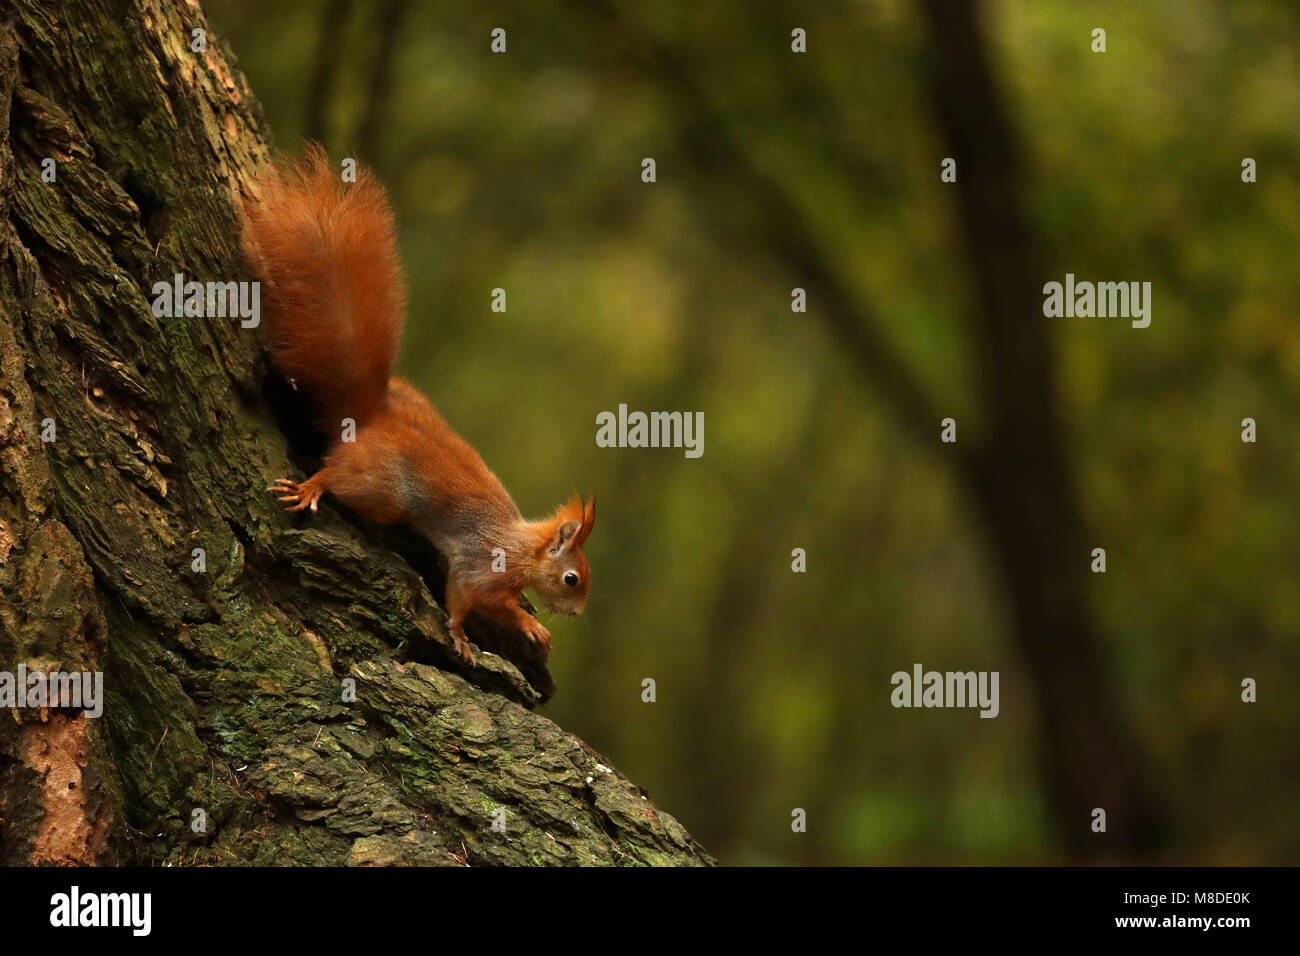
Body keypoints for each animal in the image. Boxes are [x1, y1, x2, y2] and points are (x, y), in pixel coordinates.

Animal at [240, 145, 595, 663]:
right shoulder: (484, 567)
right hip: (384, 488)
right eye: (571, 578)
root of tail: (372, 417)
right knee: (336, 474)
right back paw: (312, 488)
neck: (521, 546)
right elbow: (474, 600)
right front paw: (514, 629)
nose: (577, 614)